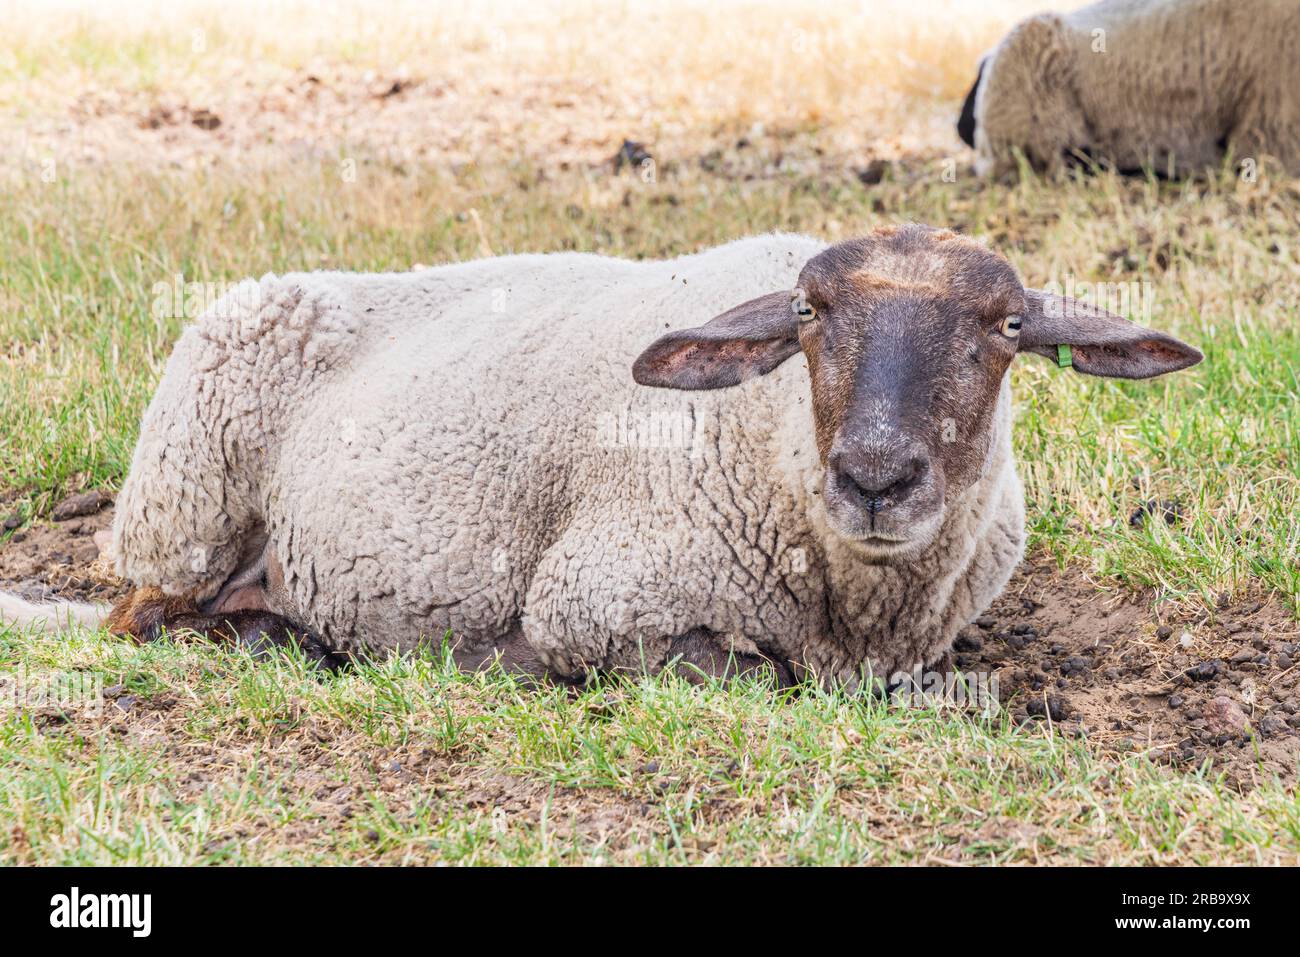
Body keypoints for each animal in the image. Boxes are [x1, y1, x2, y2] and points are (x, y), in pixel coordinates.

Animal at [2, 225, 1201, 688]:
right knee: (147, 619)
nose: (874, 479)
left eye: (1009, 327)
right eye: (807, 315)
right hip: (182, 517)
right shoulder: (599, 603)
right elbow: (754, 672)